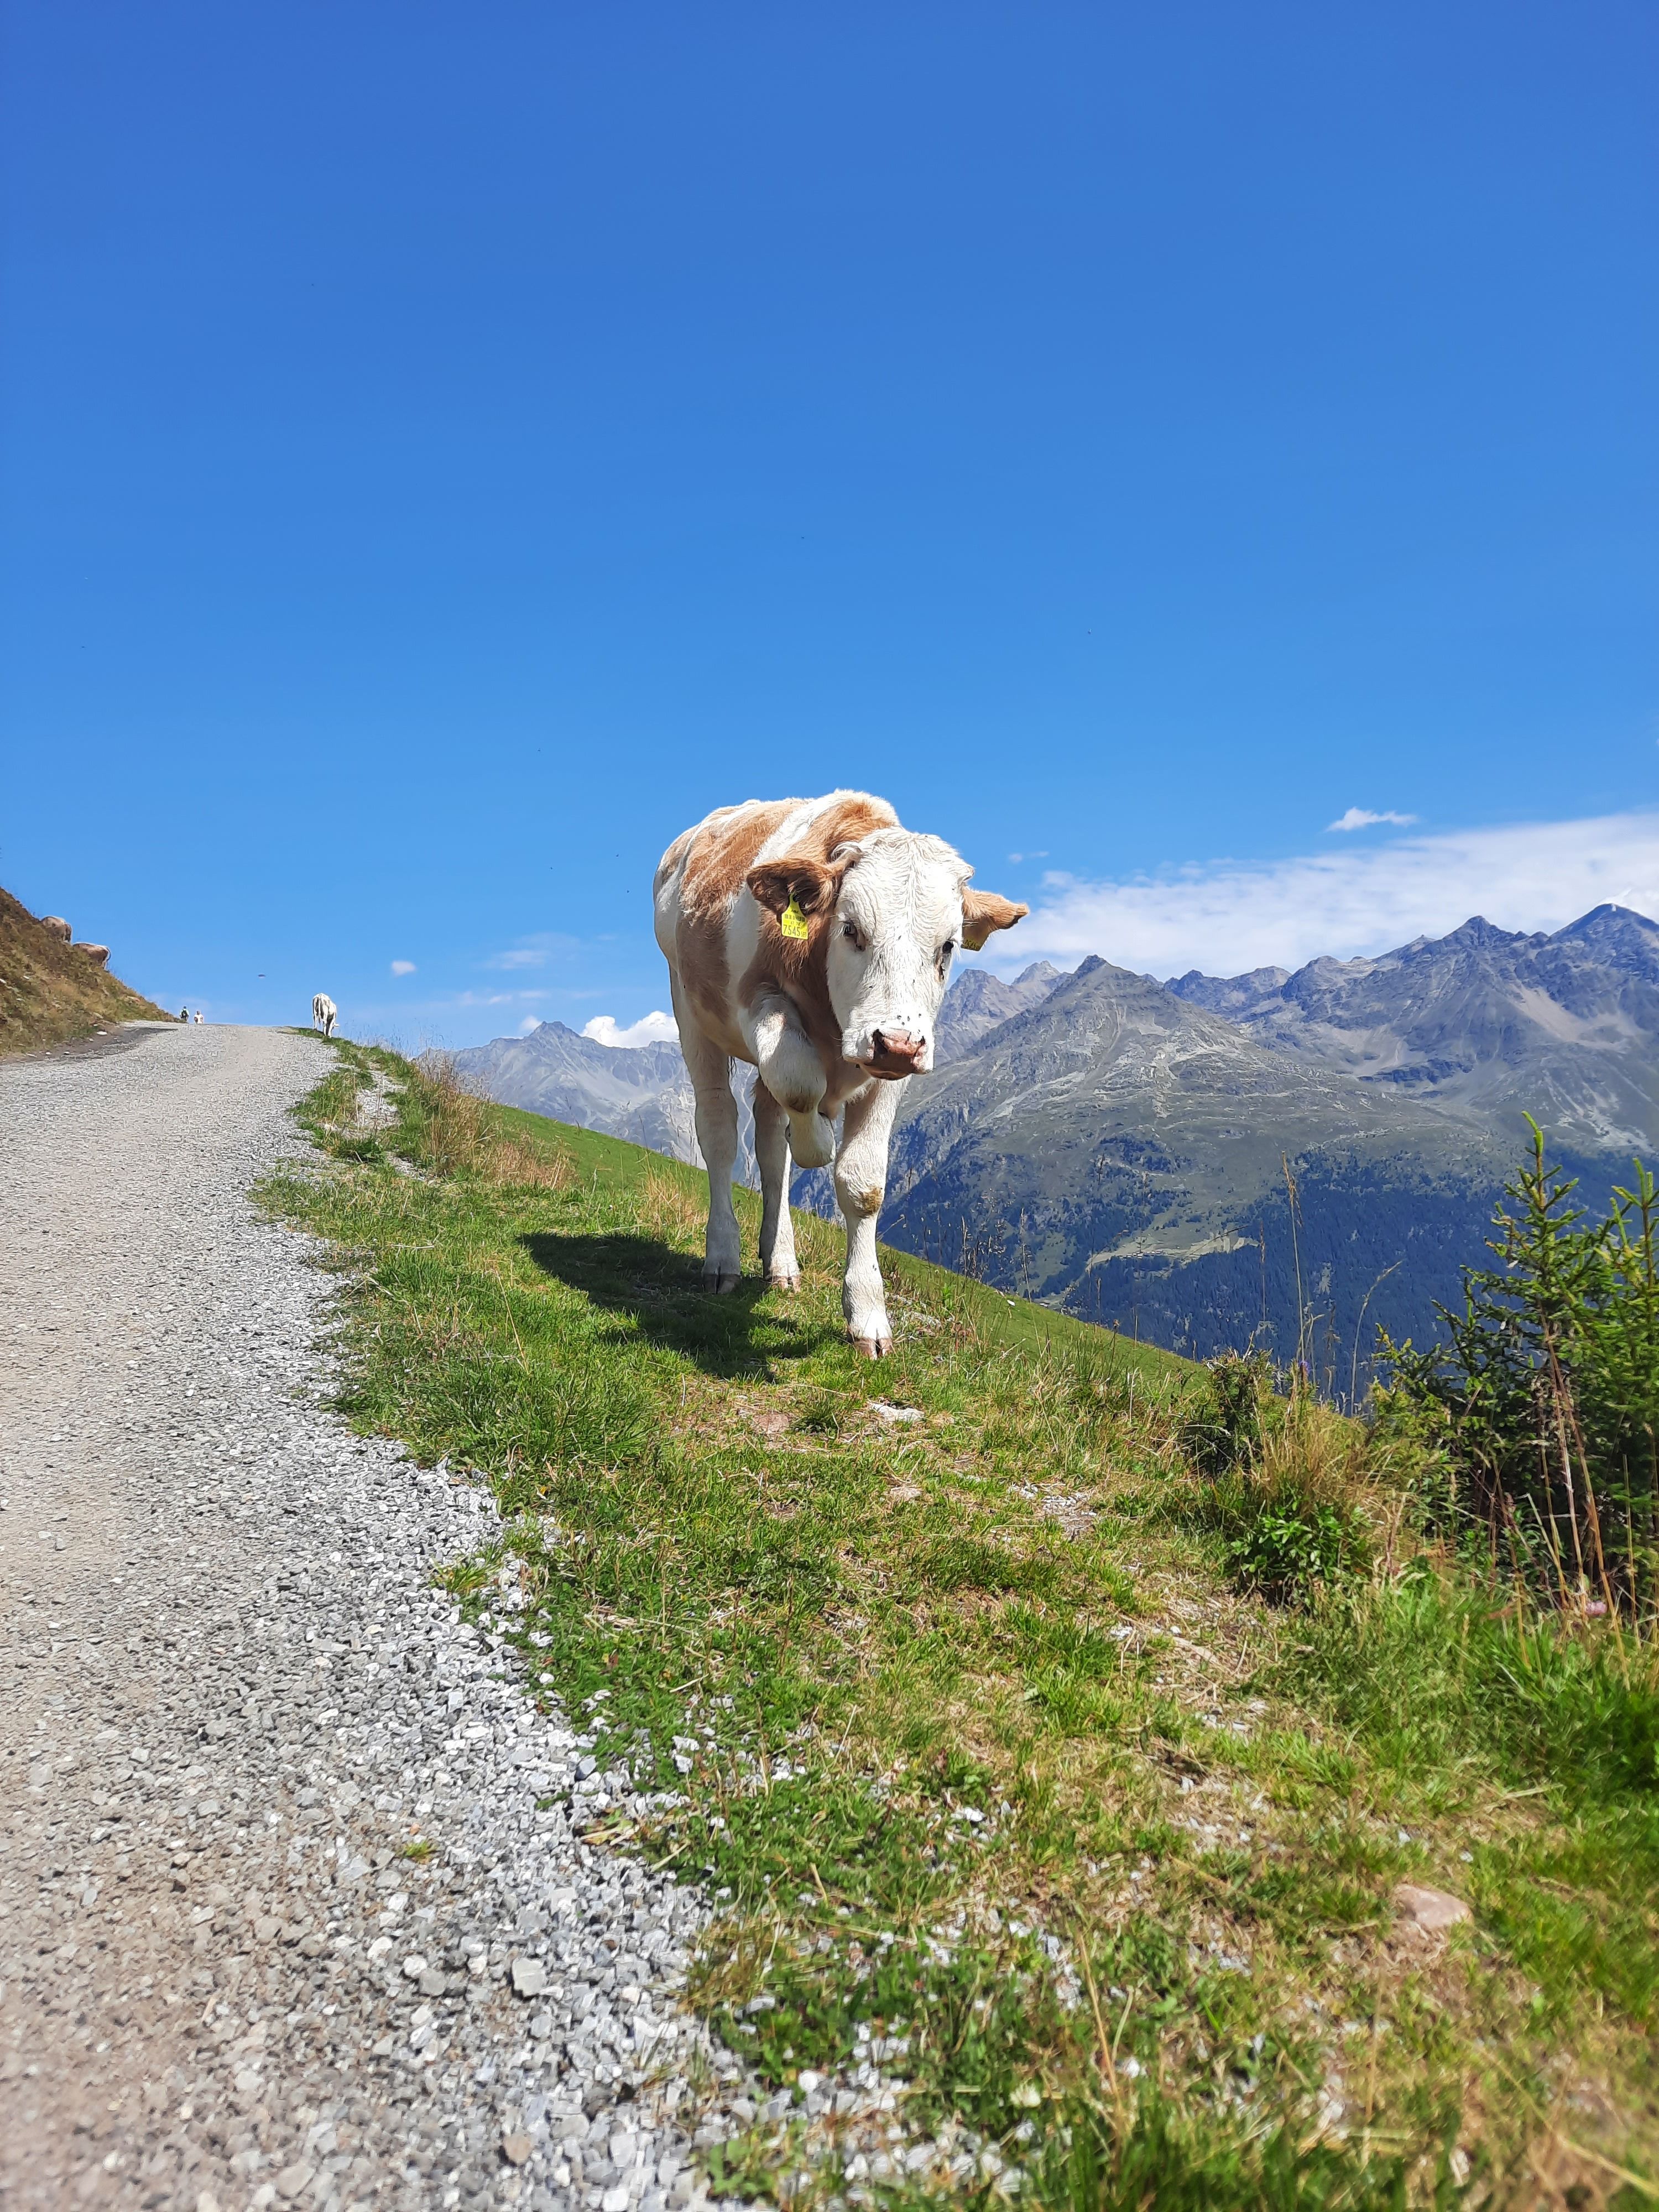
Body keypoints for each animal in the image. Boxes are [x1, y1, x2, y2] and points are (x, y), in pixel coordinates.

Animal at [655, 791, 1027, 1356]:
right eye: (851, 929)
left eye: (948, 946)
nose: (897, 1043)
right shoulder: (762, 1004)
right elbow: (799, 1084)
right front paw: (820, 1143)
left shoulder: (892, 1073)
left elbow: (861, 1183)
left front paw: (868, 1316)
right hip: (690, 1011)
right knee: (720, 1129)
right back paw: (724, 1257)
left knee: (770, 1145)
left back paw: (780, 1259)